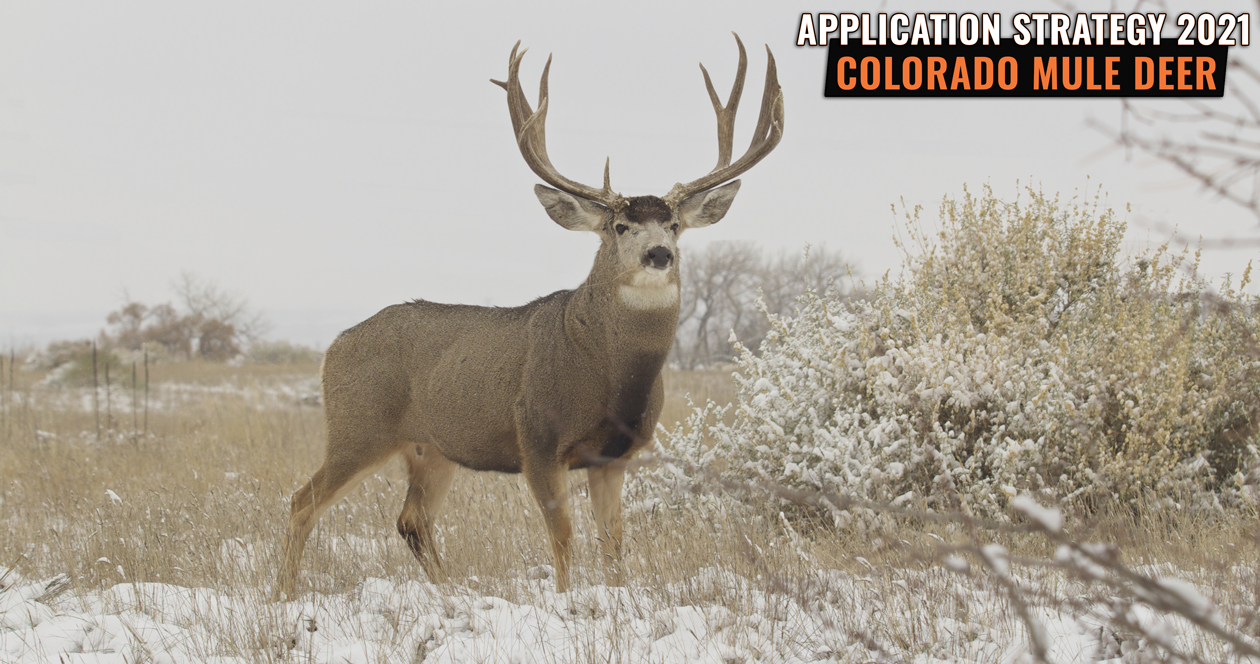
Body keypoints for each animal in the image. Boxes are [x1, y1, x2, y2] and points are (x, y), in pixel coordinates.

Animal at [272, 33, 783, 600]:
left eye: (673, 224)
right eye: (620, 227)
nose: (659, 254)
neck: (607, 373)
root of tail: (332, 347)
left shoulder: (616, 455)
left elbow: (614, 540)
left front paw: (618, 596)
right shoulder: (536, 436)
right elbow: (562, 533)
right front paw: (565, 600)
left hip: (432, 448)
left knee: (411, 520)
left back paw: (451, 594)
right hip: (358, 429)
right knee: (302, 502)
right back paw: (282, 595)